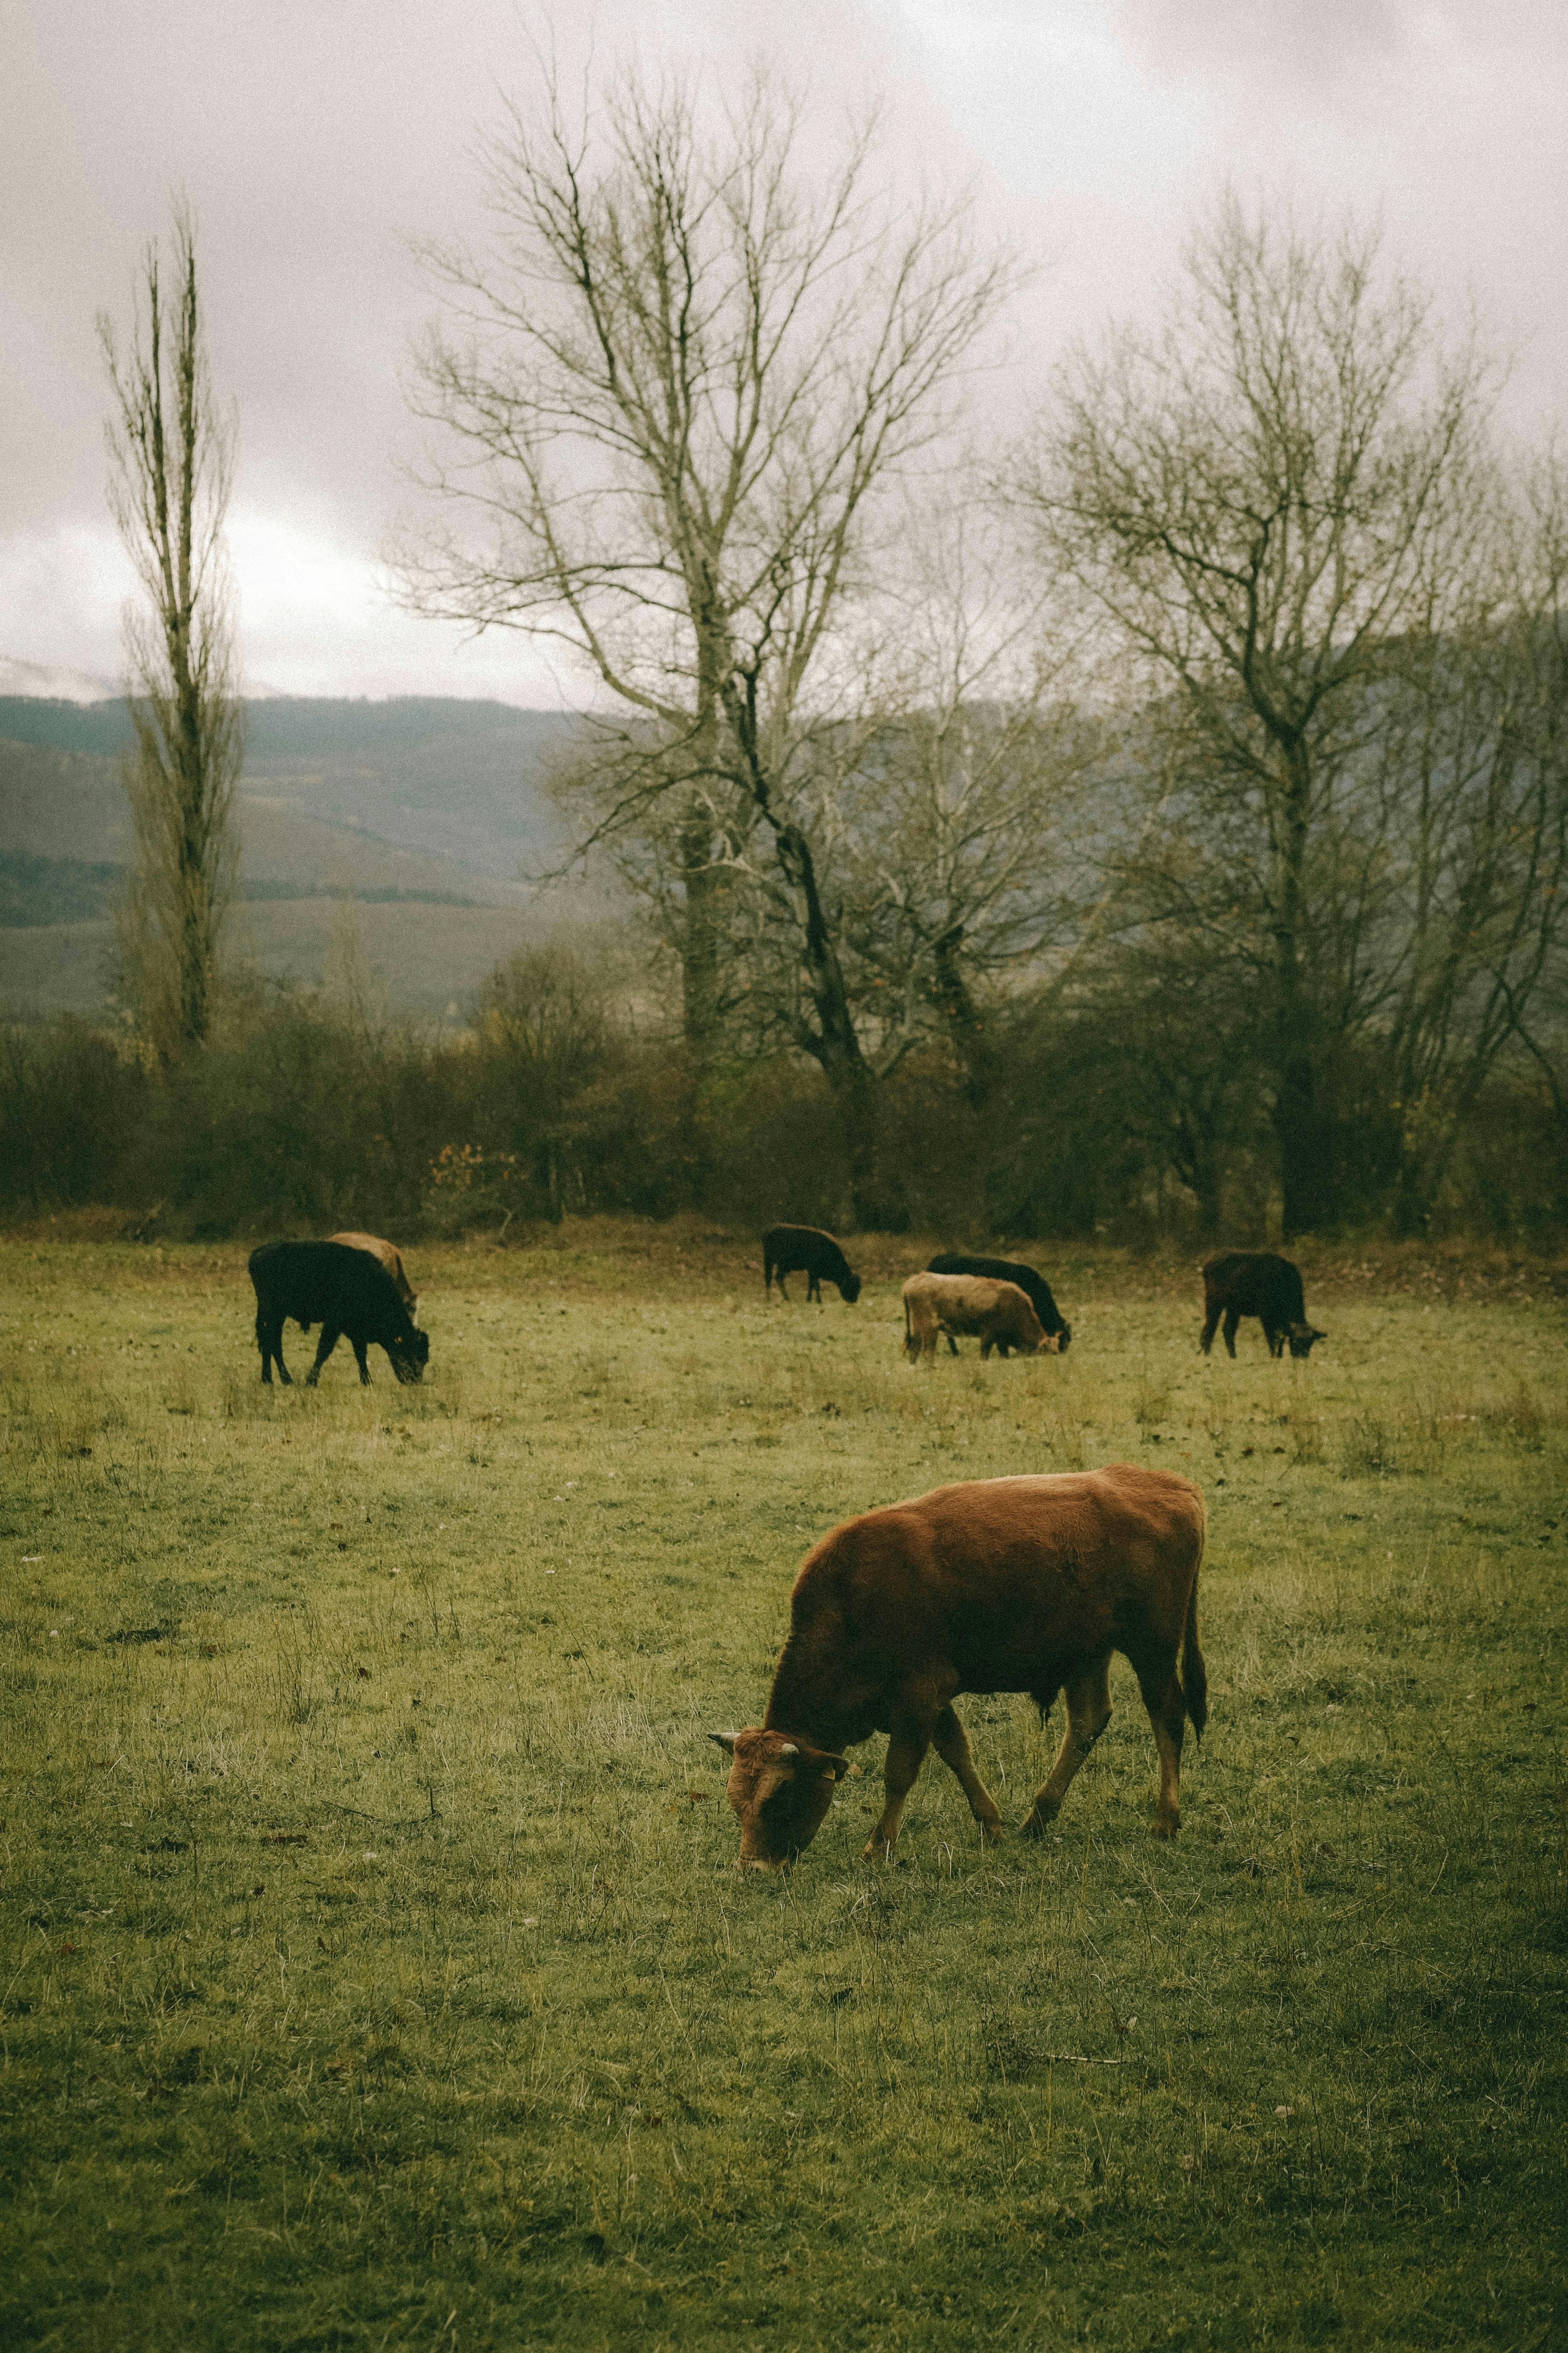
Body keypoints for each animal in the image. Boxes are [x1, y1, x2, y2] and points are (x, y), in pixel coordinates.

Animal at [248, 1240, 430, 1387]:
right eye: (410, 1351)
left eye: (425, 1359)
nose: (415, 1381)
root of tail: (257, 1254)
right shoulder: (334, 1323)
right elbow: (324, 1350)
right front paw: (311, 1382)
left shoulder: (356, 1330)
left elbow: (360, 1354)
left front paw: (367, 1381)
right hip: (275, 1311)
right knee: (272, 1341)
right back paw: (285, 1380)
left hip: (273, 1313)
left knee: (268, 1340)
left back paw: (269, 1379)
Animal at [711, 1464, 1207, 1868]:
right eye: (737, 1803)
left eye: (778, 1799)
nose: (754, 1868)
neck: (853, 1599)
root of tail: (1176, 1486)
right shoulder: (931, 1699)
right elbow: (956, 1752)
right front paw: (991, 1825)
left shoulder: (919, 1695)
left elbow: (900, 1772)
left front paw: (877, 1848)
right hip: (1087, 1653)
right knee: (1087, 1721)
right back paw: (1037, 1819)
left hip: (1152, 1649)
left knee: (1167, 1715)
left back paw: (1164, 1820)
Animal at [763, 1224, 863, 1305]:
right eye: (851, 1287)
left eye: (859, 1288)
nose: (854, 1300)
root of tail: (769, 1231)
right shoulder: (813, 1271)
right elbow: (816, 1286)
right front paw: (819, 1301)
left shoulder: (812, 1272)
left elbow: (811, 1285)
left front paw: (809, 1300)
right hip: (770, 1262)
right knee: (769, 1278)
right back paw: (770, 1299)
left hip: (782, 1267)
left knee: (778, 1277)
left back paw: (785, 1298)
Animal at [902, 1272, 1054, 1364]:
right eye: (1045, 1352)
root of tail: (910, 1283)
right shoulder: (988, 1333)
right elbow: (985, 1352)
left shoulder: (1001, 1339)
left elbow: (1003, 1353)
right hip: (930, 1326)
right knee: (927, 1349)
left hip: (917, 1325)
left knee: (914, 1347)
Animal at [1200, 1251, 1326, 1360]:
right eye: (1295, 1341)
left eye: (1310, 1343)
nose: (1302, 1358)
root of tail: (1209, 1264)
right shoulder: (1266, 1316)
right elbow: (1272, 1337)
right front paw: (1275, 1356)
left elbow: (1280, 1336)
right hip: (1214, 1302)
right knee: (1210, 1327)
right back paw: (1207, 1354)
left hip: (1233, 1309)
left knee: (1228, 1330)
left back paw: (1233, 1356)